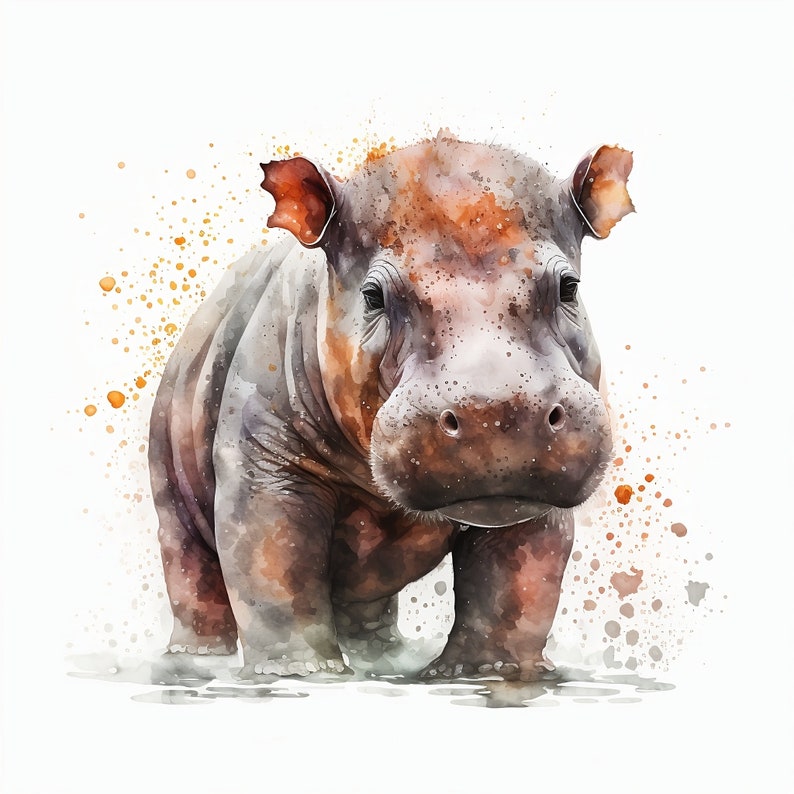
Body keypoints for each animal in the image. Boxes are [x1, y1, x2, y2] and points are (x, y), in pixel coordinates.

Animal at [148, 130, 634, 680]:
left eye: (569, 287)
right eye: (373, 295)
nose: (496, 414)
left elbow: (518, 585)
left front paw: (486, 675)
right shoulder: (266, 464)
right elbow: (271, 567)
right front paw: (302, 677)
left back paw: (381, 659)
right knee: (190, 559)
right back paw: (195, 663)